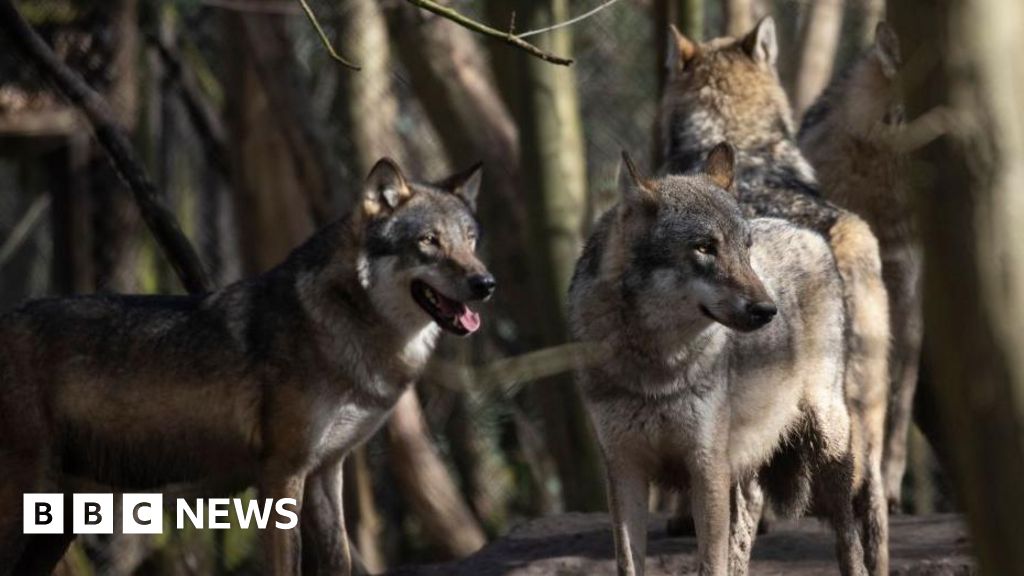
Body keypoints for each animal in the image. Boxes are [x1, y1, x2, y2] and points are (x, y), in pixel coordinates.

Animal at [0, 158, 494, 576]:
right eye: (428, 241)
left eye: (470, 240)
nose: (485, 283)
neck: (339, 324)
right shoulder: (281, 472)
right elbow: (286, 566)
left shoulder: (325, 471)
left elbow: (338, 561)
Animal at [572, 143, 867, 576]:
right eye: (704, 247)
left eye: (745, 248)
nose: (767, 310)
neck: (656, 366)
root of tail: (805, 231)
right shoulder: (624, 469)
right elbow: (629, 562)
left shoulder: (706, 465)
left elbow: (711, 562)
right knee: (748, 518)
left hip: (827, 441)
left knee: (849, 535)